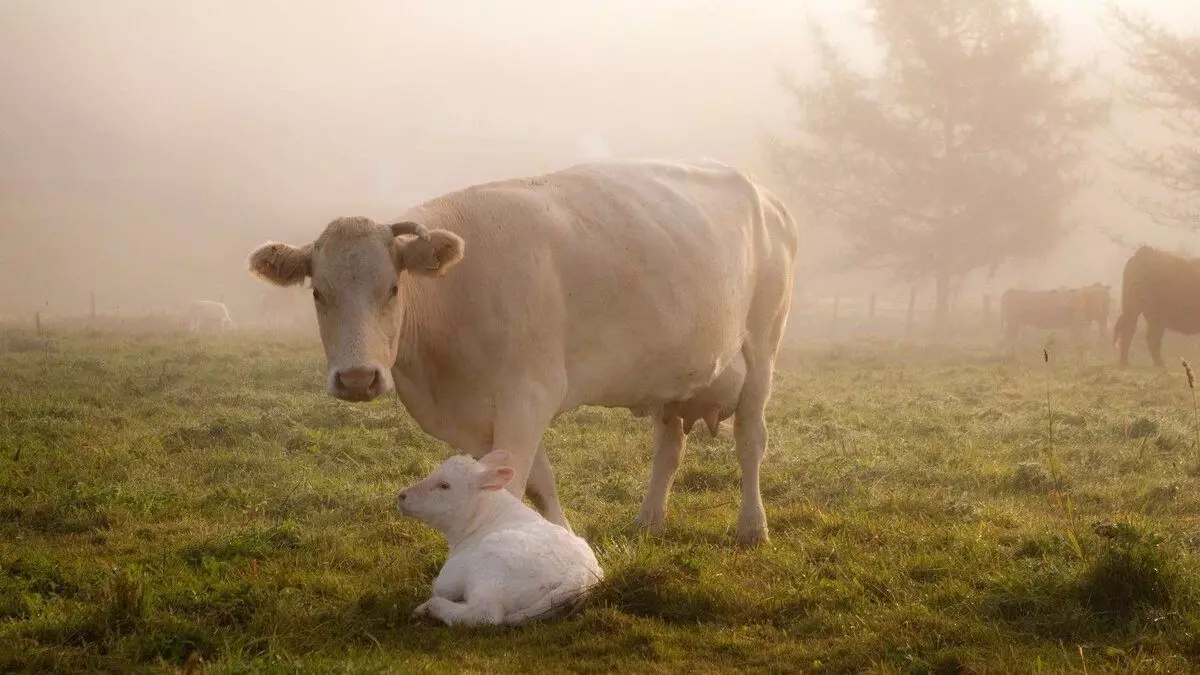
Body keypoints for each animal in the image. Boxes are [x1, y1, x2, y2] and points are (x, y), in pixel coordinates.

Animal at [244, 158, 796, 547]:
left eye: (393, 288)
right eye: (318, 293)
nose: (357, 378)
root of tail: (769, 195)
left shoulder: (527, 397)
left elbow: (510, 490)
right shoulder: (474, 420)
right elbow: (536, 482)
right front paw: (561, 542)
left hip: (764, 348)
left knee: (751, 441)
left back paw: (752, 527)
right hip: (672, 373)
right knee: (670, 447)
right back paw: (649, 520)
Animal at [398, 449, 604, 624]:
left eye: (444, 485)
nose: (401, 495)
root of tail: (579, 573)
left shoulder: (451, 575)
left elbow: (440, 587)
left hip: (489, 573)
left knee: (483, 615)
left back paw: (429, 608)